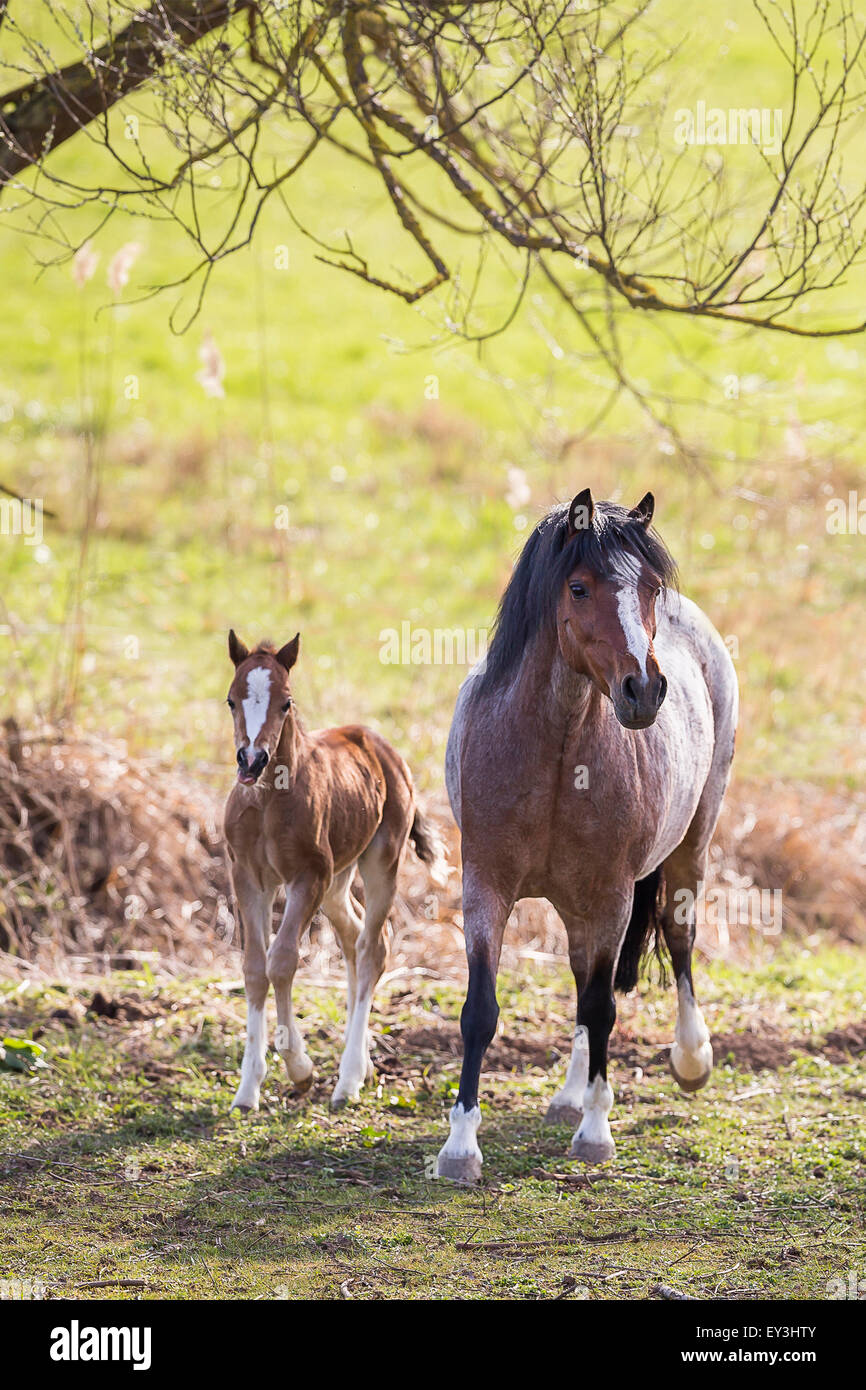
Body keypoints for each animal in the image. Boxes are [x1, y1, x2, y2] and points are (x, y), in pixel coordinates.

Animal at [222, 629, 445, 1111]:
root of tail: (382, 747)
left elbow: (282, 961)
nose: (251, 759)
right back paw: (362, 1064)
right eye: (231, 700)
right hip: (338, 882)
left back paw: (348, 1081)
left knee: (373, 945)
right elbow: (254, 967)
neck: (268, 799)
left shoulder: (308, 876)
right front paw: (247, 1090)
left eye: (286, 702)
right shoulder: (248, 877)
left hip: (380, 861)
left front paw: (300, 1069)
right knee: (353, 936)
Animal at [436, 489, 738, 1181]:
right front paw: (460, 1147)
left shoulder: (611, 897)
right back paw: (570, 1094)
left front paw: (596, 1134)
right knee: (580, 980)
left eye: (651, 587)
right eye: (578, 587)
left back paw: (690, 1058)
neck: (555, 753)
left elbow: (603, 1007)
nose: (644, 689)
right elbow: (480, 1011)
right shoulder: (484, 888)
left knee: (675, 940)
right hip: (575, 906)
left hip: (689, 847)